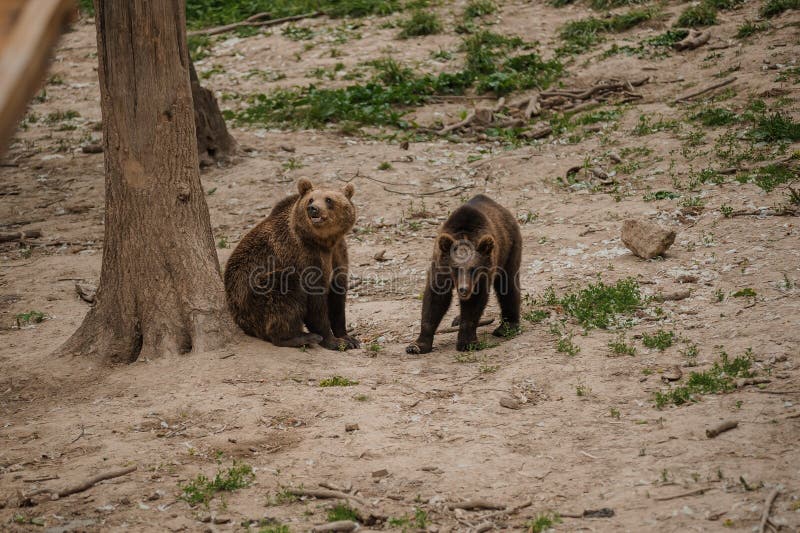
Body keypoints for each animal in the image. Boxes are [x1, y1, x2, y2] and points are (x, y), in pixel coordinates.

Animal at [224, 178, 360, 350]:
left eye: (328, 199)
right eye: (311, 199)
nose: (313, 209)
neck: (323, 241)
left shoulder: (338, 253)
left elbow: (337, 296)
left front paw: (348, 338)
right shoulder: (304, 255)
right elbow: (315, 301)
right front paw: (333, 341)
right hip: (252, 297)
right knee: (285, 290)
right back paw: (301, 337)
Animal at [406, 194, 522, 354]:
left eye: (473, 268)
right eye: (455, 268)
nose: (463, 289)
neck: (465, 235)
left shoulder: (481, 276)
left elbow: (473, 304)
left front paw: (467, 343)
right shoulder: (440, 268)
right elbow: (435, 300)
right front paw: (417, 345)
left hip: (509, 248)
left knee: (508, 284)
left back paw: (507, 327)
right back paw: (457, 319)